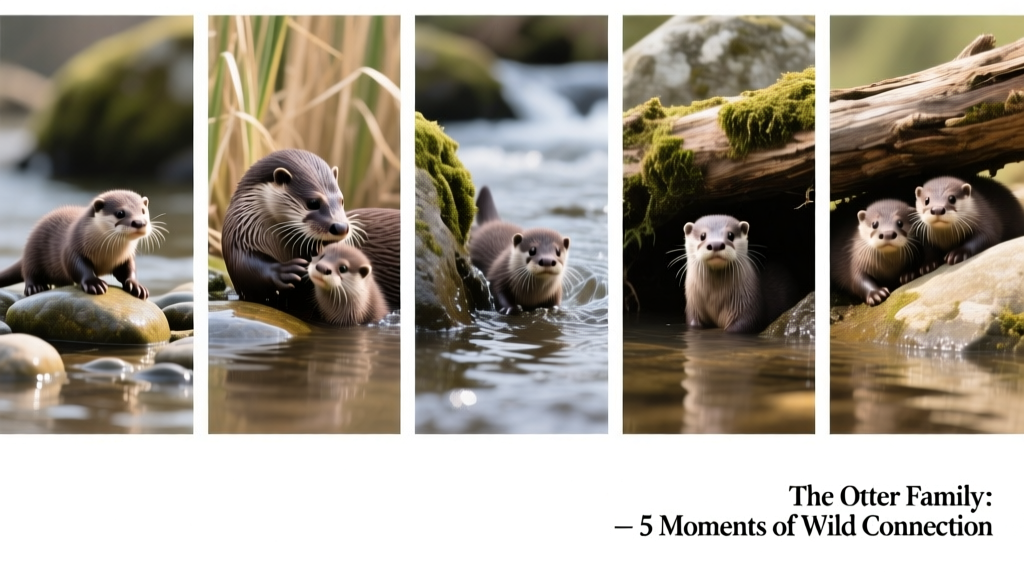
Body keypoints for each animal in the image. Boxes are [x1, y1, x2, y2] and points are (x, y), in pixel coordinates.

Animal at [0, 189, 158, 299]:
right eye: (120, 213)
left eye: (143, 211)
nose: (139, 222)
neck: (108, 254)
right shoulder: (73, 247)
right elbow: (77, 266)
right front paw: (94, 283)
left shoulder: (126, 257)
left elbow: (129, 269)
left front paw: (136, 286)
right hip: (32, 251)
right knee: (28, 272)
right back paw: (35, 287)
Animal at [220, 149, 399, 321]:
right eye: (313, 203)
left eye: (341, 200)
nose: (341, 227)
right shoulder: (239, 240)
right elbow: (246, 268)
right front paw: (285, 271)